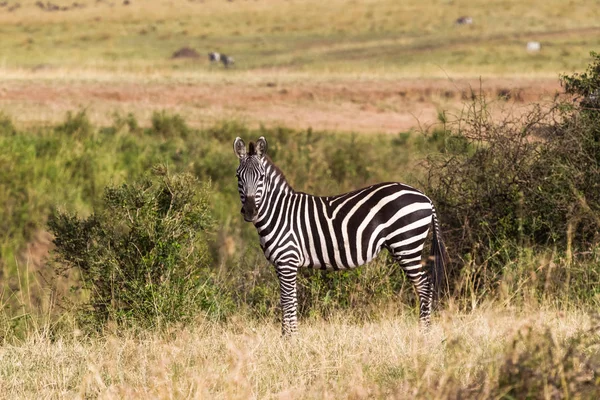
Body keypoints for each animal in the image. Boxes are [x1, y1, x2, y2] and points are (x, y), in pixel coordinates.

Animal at [232, 138, 448, 334]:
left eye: (261, 177)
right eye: (238, 177)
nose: (250, 212)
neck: (279, 212)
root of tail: (425, 197)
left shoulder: (287, 261)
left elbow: (287, 302)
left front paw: (289, 340)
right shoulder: (281, 264)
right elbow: (290, 301)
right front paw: (290, 338)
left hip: (407, 245)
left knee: (424, 286)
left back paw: (424, 333)